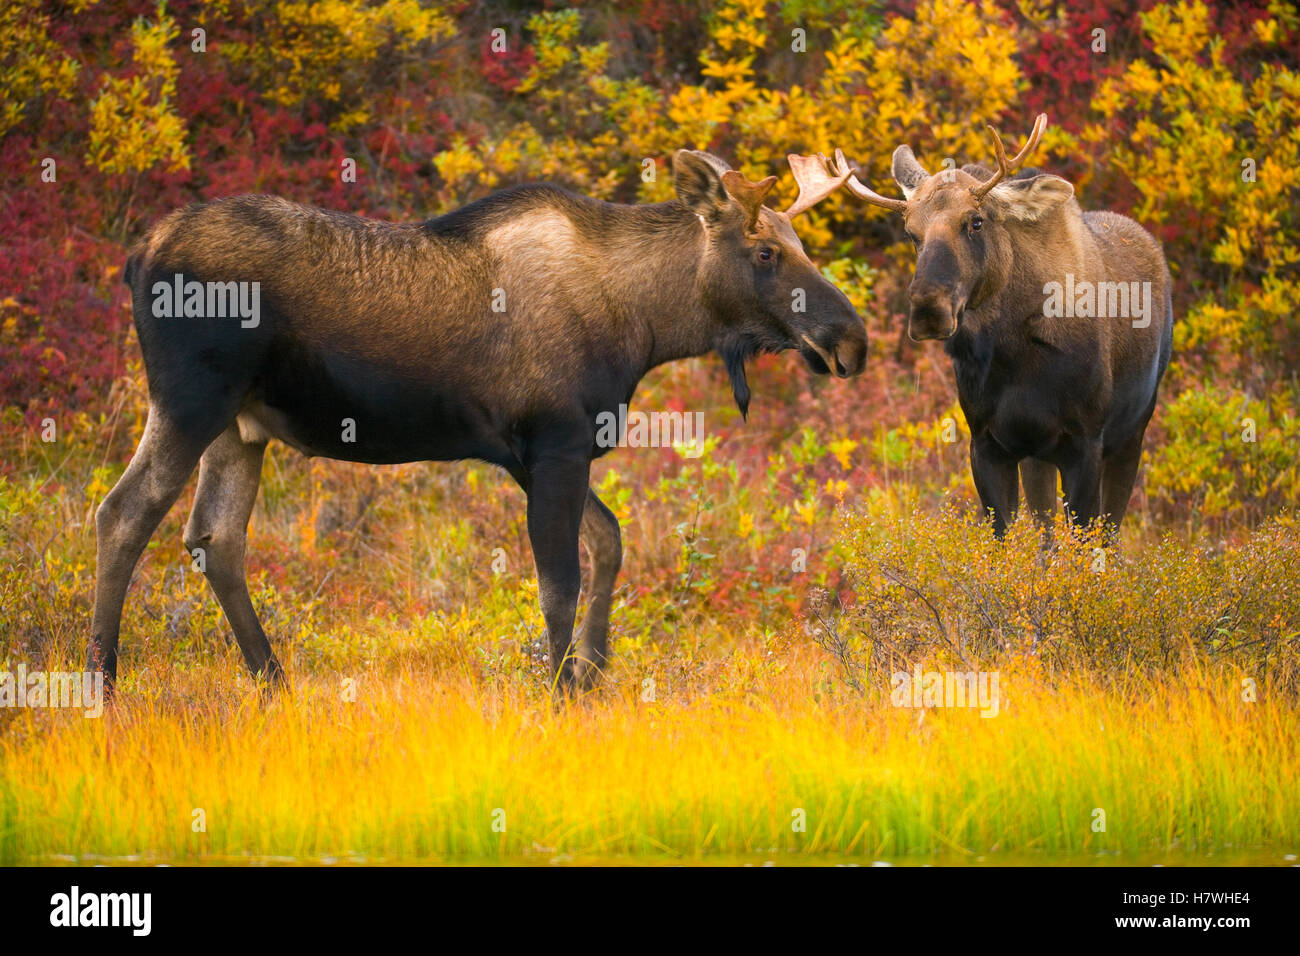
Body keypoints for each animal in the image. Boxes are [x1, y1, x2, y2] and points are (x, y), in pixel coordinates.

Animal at [90, 149, 867, 697]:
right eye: (765, 252)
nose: (851, 340)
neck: (645, 323)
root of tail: (136, 256)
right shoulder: (554, 443)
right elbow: (559, 580)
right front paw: (561, 692)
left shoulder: (536, 453)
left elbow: (608, 541)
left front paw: (594, 671)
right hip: (191, 401)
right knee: (123, 513)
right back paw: (103, 683)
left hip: (240, 426)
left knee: (214, 538)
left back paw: (273, 682)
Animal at [793, 115, 1173, 538]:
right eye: (911, 233)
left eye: (976, 221)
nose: (928, 308)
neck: (1015, 354)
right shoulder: (988, 443)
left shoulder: (1087, 442)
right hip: (1040, 457)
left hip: (1132, 433)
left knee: (1110, 534)